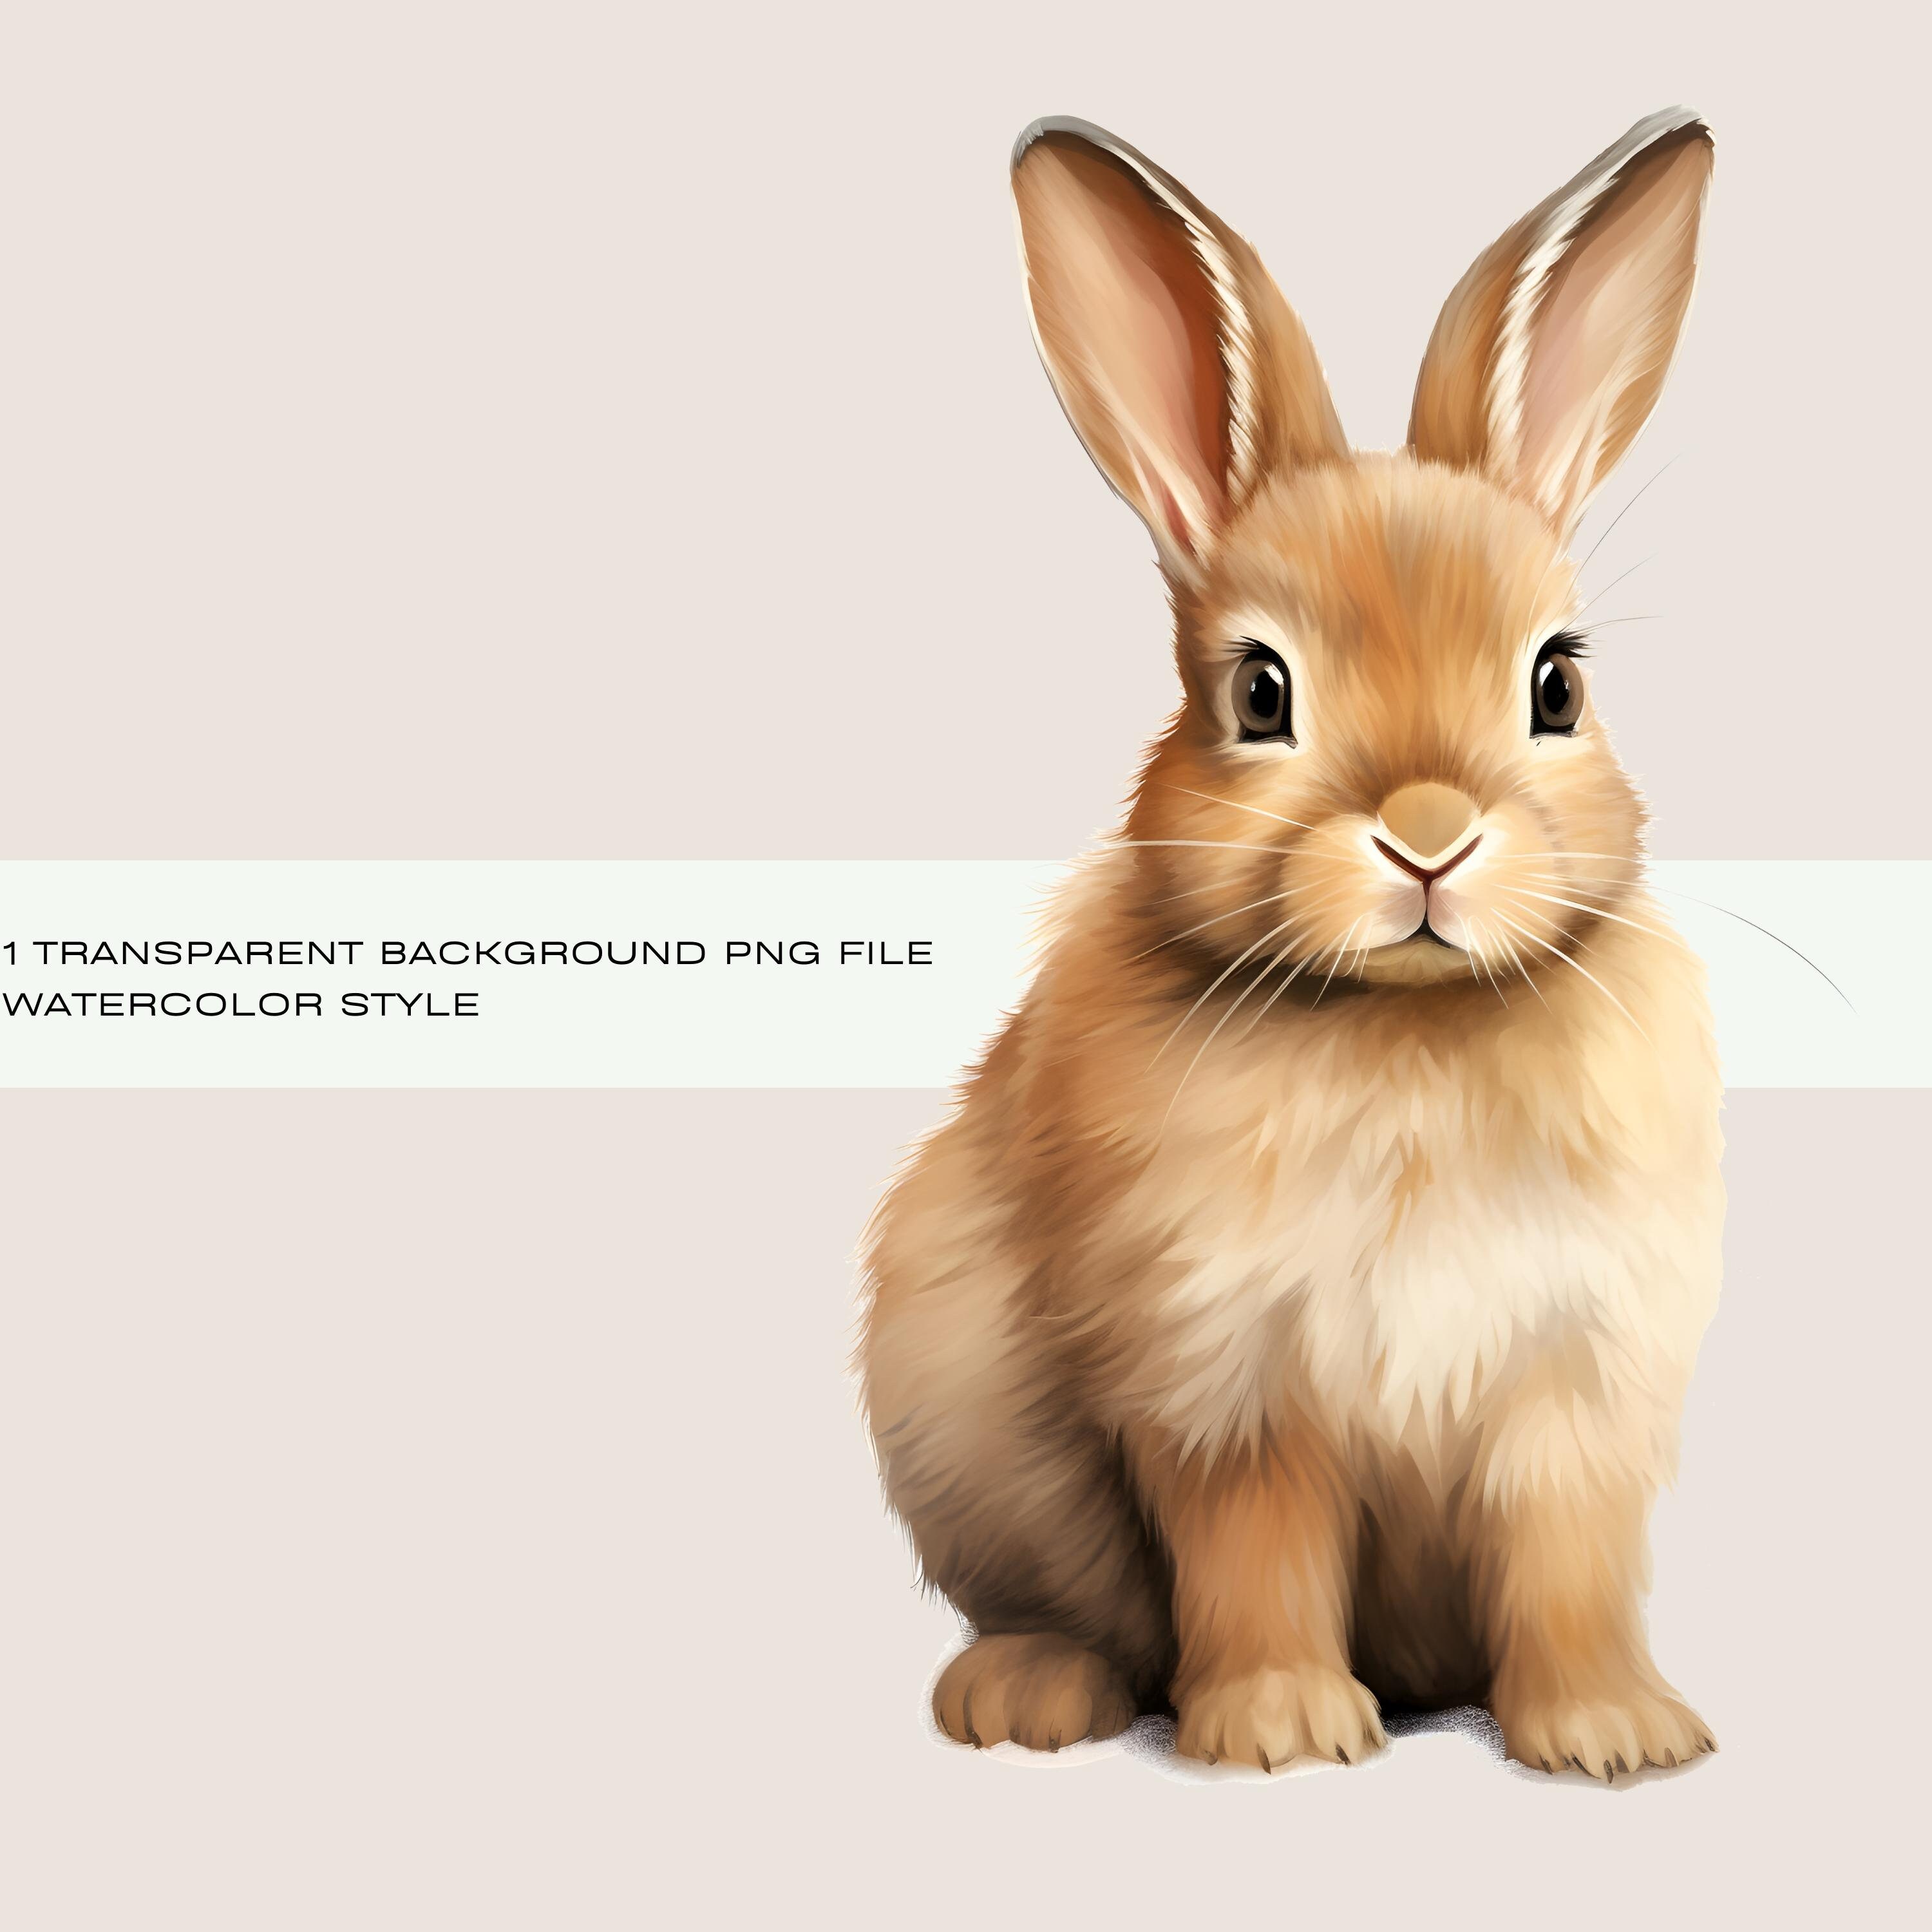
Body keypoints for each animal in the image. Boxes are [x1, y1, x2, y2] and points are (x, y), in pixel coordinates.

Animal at [860, 109, 1722, 1782]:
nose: (1429, 834)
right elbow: (1255, 1556)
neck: (1406, 1017)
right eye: (1259, 692)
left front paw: (1614, 1733)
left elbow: (1568, 1567)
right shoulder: (1229, 1389)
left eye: (1558, 683)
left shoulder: (1572, 1385)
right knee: (1071, 1617)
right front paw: (1283, 1731)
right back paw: (1023, 1696)